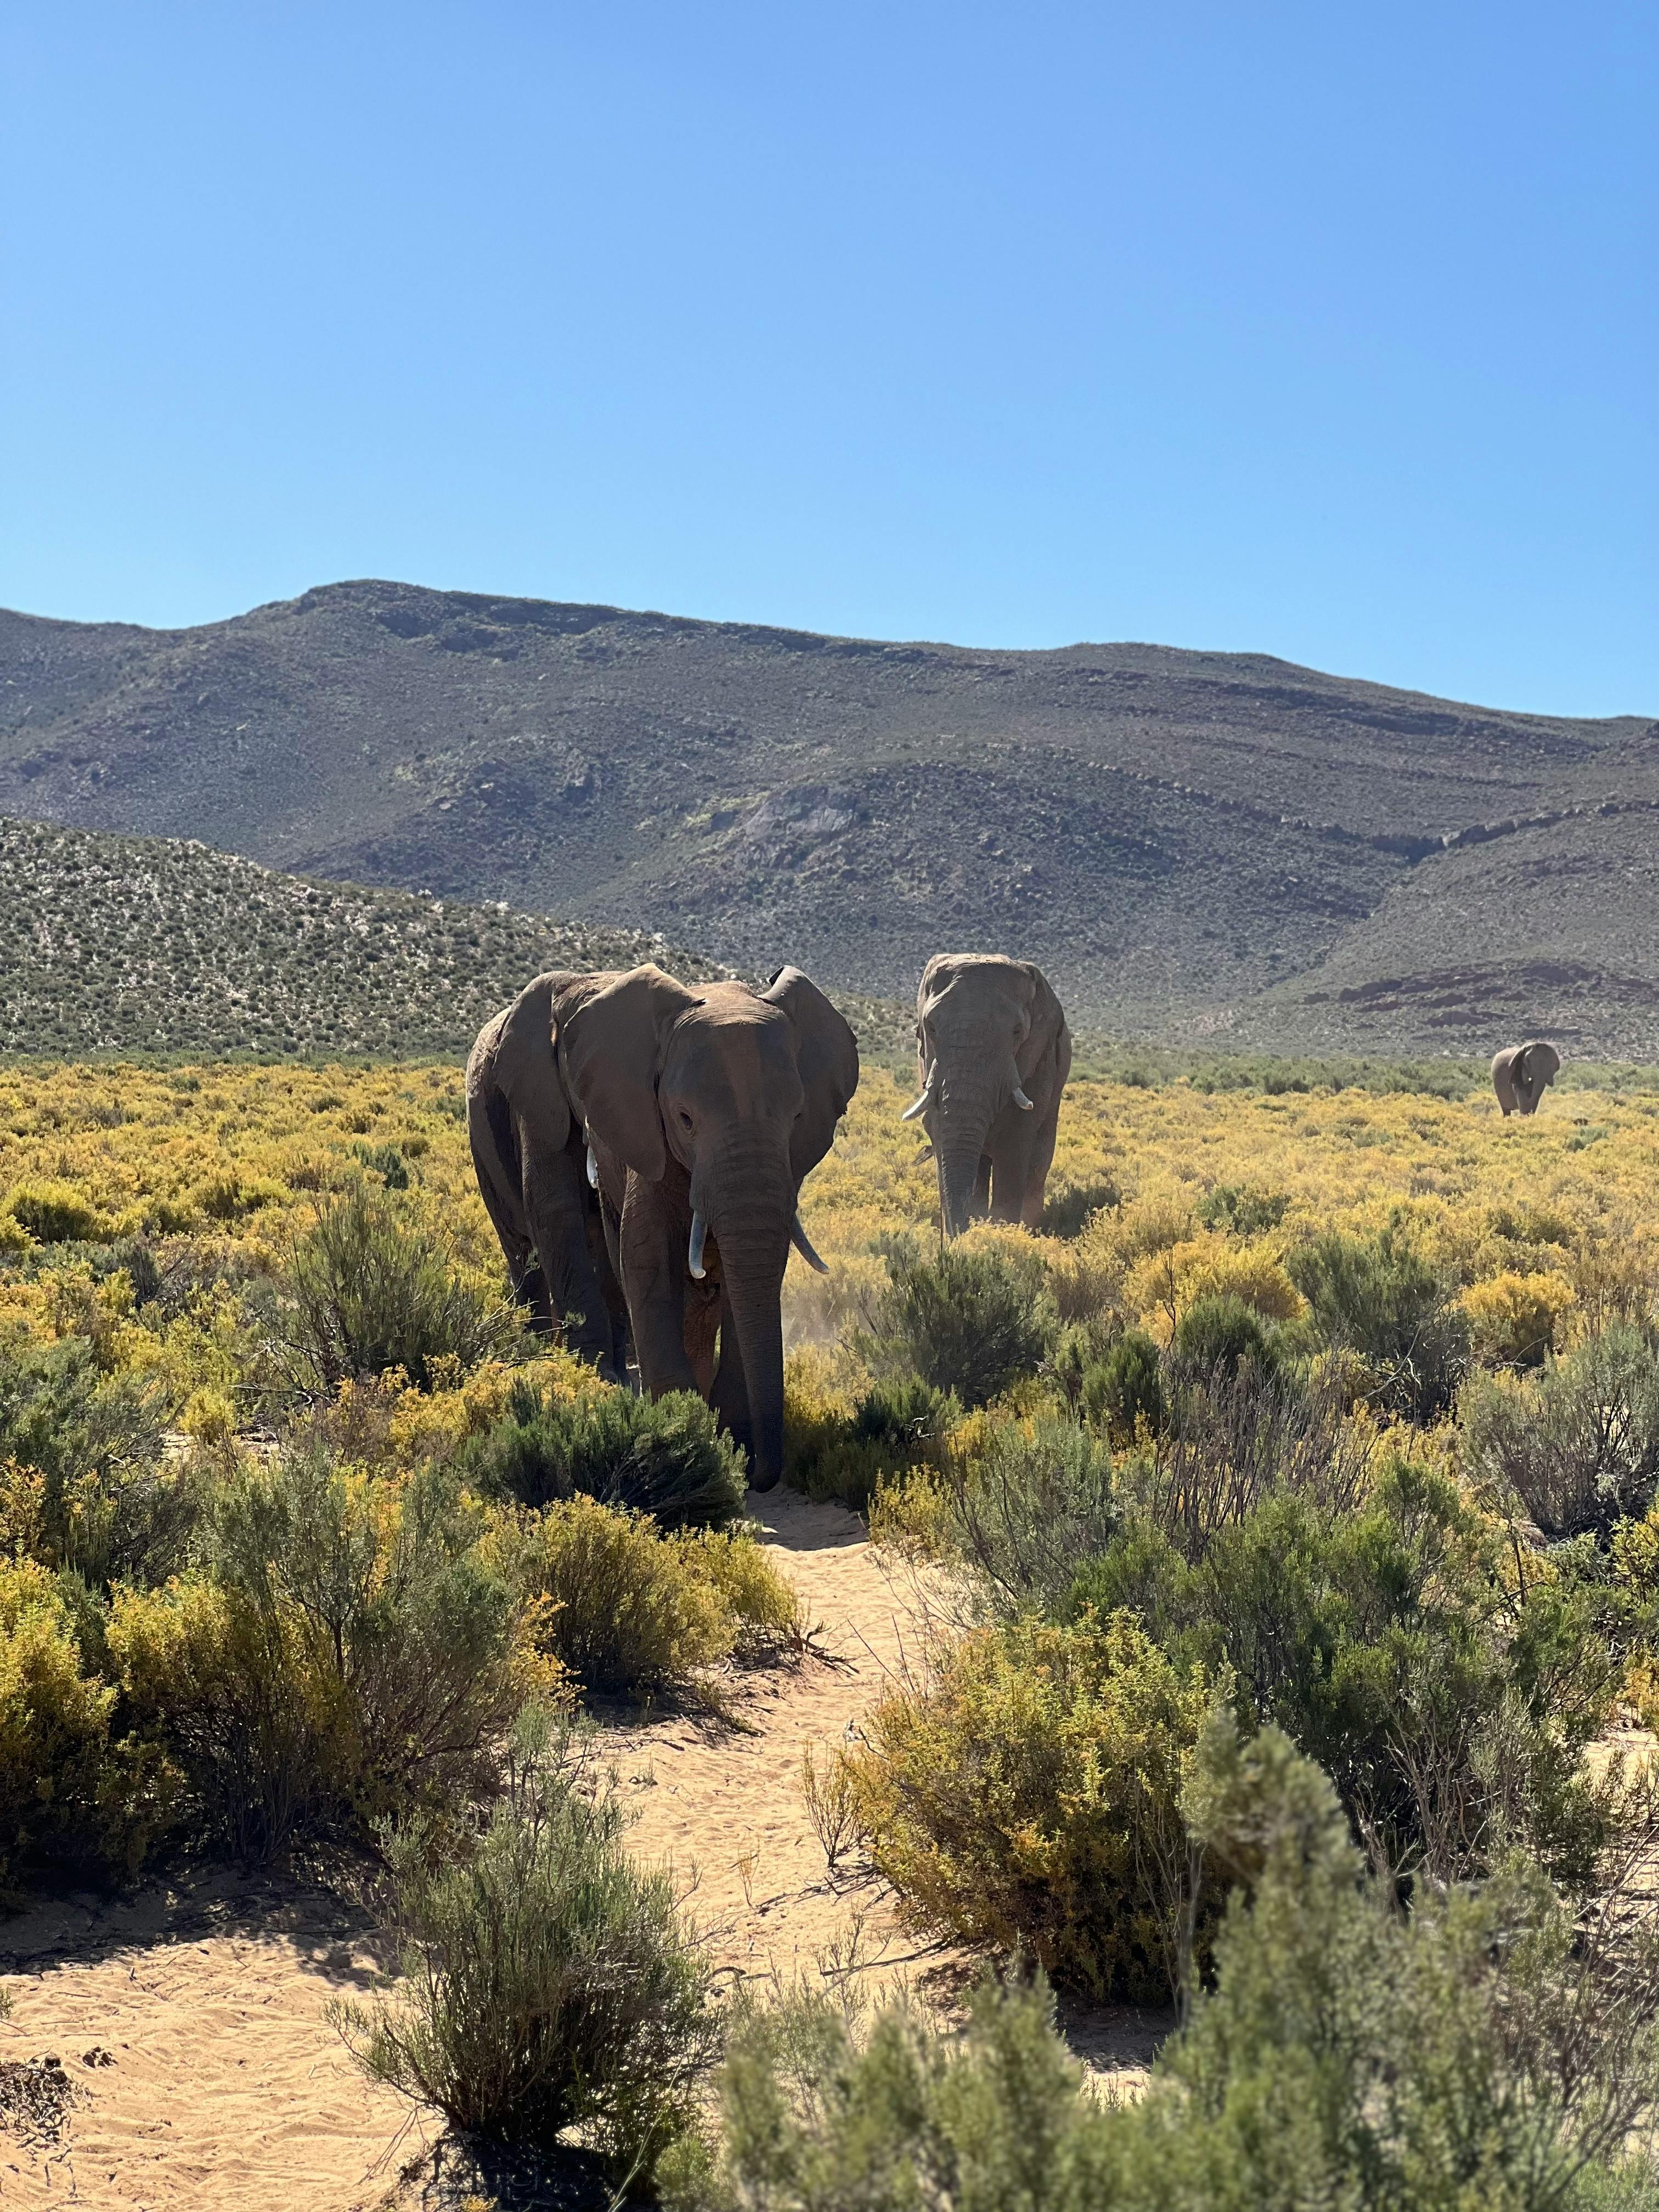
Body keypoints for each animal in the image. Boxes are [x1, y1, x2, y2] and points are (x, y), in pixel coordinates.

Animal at [467, 971, 630, 1378]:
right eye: (582, 1075)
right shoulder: (536, 1095)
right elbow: (553, 1207)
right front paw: (594, 1372)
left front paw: (614, 1373)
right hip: (482, 1148)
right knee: (521, 1251)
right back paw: (536, 1346)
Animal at [558, 962, 858, 1493]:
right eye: (684, 1119)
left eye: (797, 1116)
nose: (759, 1477)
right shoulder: (646, 1142)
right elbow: (648, 1263)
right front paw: (686, 1438)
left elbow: (757, 1275)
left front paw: (730, 1440)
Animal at [902, 953, 1071, 1237]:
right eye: (929, 1028)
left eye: (1017, 1031)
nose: (954, 1238)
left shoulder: (1040, 1059)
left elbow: (1015, 1141)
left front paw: (1004, 1233)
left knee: (1039, 1160)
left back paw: (1031, 1226)